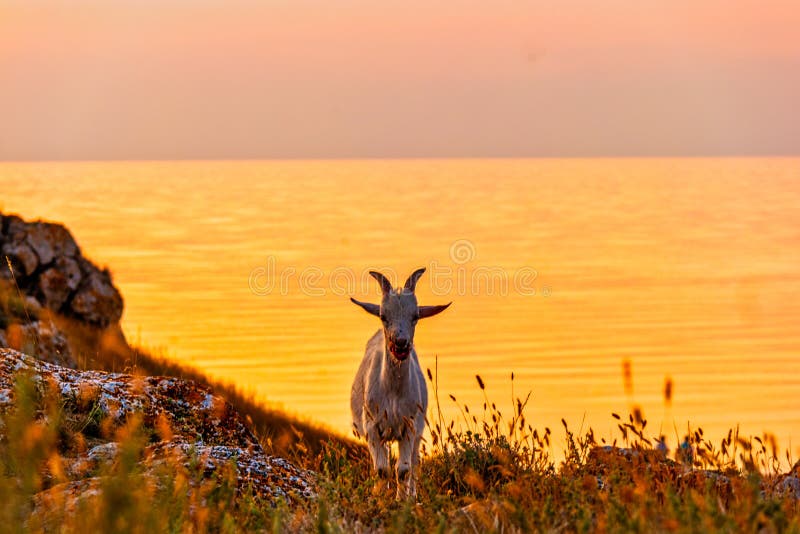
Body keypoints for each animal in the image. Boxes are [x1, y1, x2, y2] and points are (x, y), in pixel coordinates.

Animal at [350, 268, 450, 499]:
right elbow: (381, 469)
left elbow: (404, 470)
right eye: (383, 316)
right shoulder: (372, 426)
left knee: (414, 462)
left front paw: (402, 500)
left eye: (416, 316)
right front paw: (379, 498)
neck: (393, 393)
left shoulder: (409, 426)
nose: (401, 344)